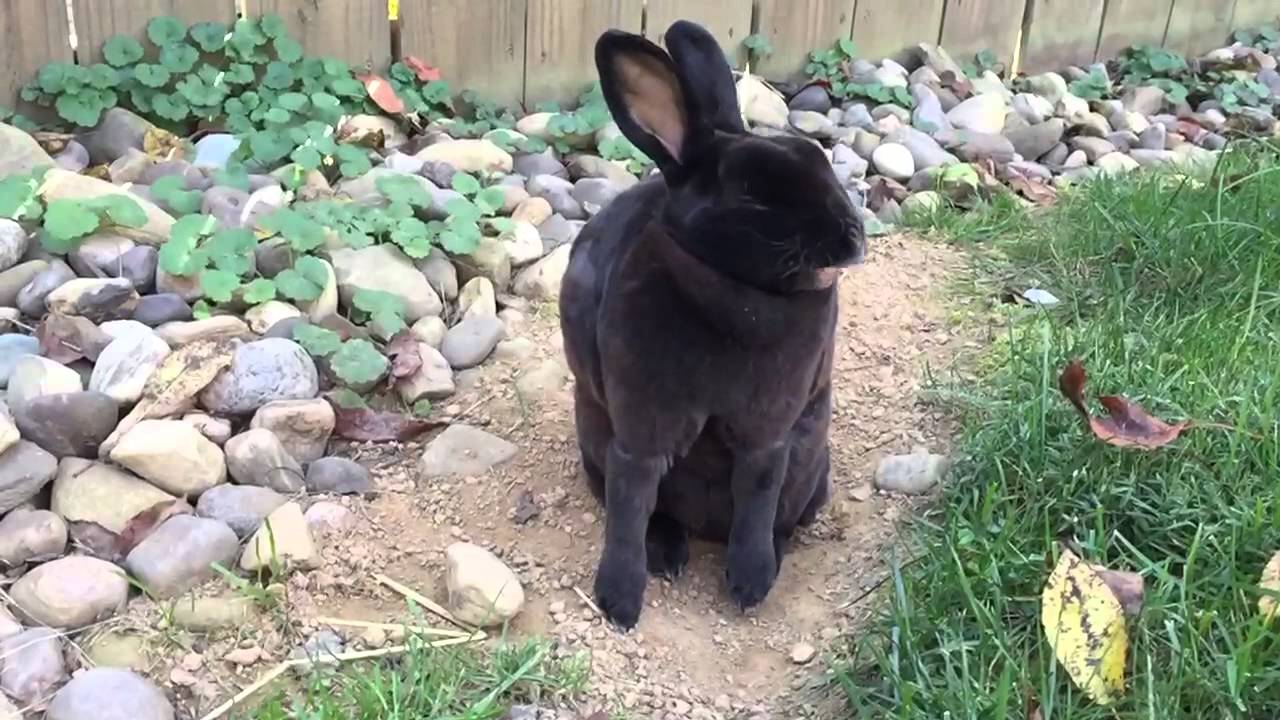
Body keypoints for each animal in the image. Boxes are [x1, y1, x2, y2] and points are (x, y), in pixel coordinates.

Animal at [558, 19, 867, 630]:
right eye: (752, 192)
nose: (851, 236)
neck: (732, 290)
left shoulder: (768, 435)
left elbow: (757, 495)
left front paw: (749, 585)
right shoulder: (640, 432)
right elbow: (630, 504)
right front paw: (619, 602)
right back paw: (666, 555)